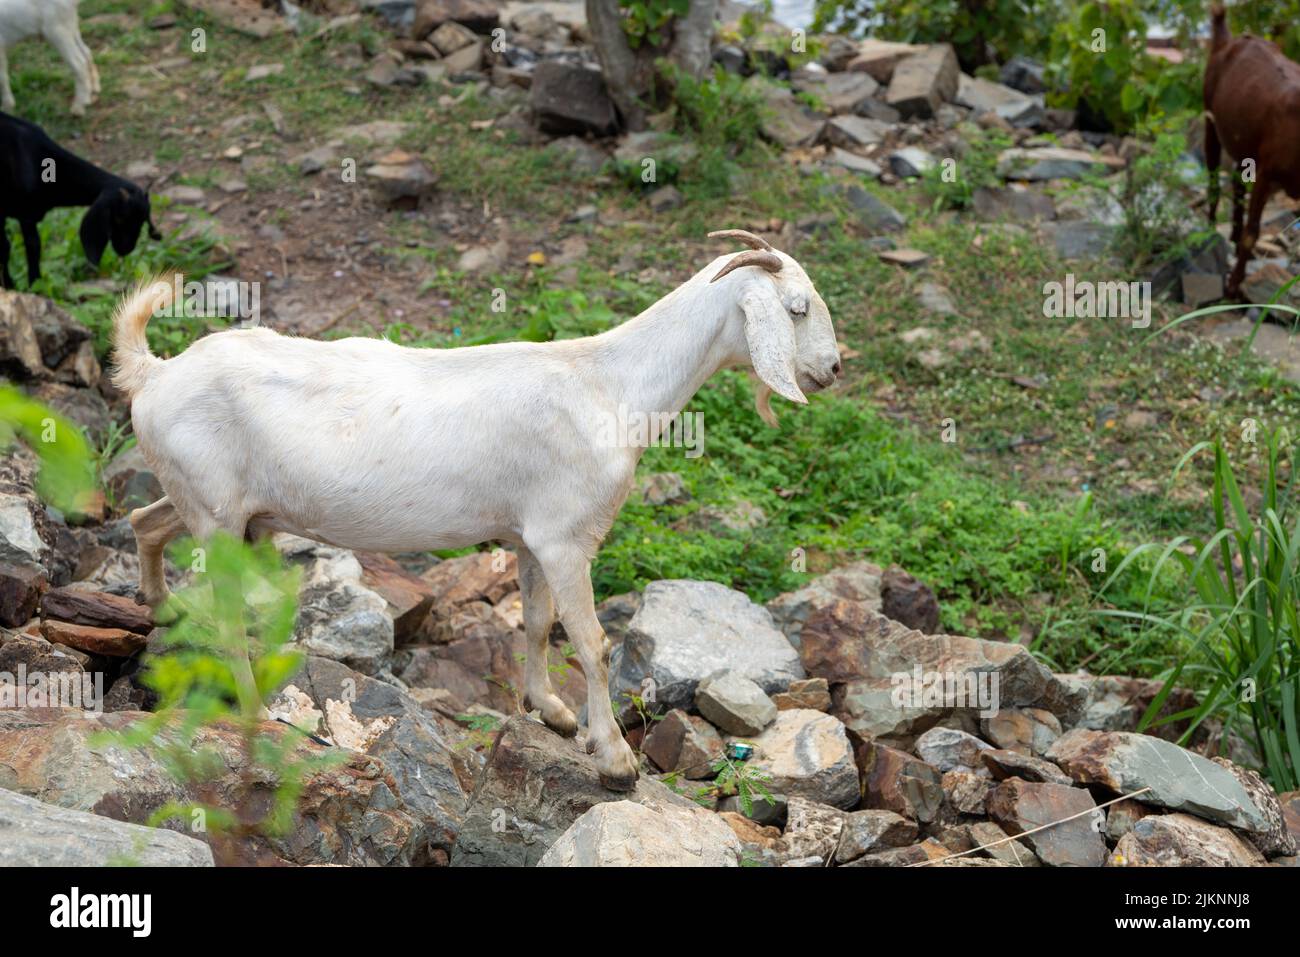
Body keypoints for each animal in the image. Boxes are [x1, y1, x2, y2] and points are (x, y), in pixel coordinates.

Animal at [0, 111, 161, 289]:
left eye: (142, 220)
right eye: (119, 217)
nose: (126, 249)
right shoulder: (21, 213)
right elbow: (24, 247)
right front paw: (23, 284)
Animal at [112, 231, 841, 789]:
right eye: (798, 308)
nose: (833, 369)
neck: (609, 383)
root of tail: (154, 372)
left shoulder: (530, 536)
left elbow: (537, 621)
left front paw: (550, 711)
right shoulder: (567, 538)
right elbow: (592, 643)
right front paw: (614, 757)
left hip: (220, 507)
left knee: (146, 521)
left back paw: (159, 606)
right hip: (217, 516)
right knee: (226, 614)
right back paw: (252, 706)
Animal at [1204, 4, 1300, 298]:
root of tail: (1227, 40)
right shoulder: (1267, 171)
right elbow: (1252, 232)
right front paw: (1233, 285)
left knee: (1236, 183)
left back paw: (1232, 237)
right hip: (1209, 117)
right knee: (1214, 178)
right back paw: (1210, 233)